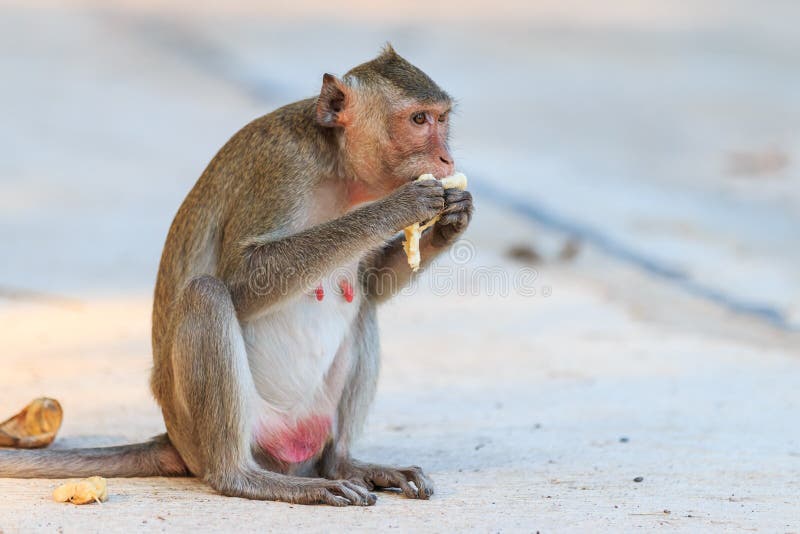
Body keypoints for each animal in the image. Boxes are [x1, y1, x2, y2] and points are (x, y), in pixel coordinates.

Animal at [0, 45, 473, 506]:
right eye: (419, 120)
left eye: (442, 119)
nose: (447, 157)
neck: (338, 167)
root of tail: (174, 439)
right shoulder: (282, 171)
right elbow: (246, 278)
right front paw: (401, 207)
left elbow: (371, 283)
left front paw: (453, 219)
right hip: (215, 430)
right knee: (206, 294)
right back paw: (246, 478)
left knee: (363, 307)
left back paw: (343, 464)